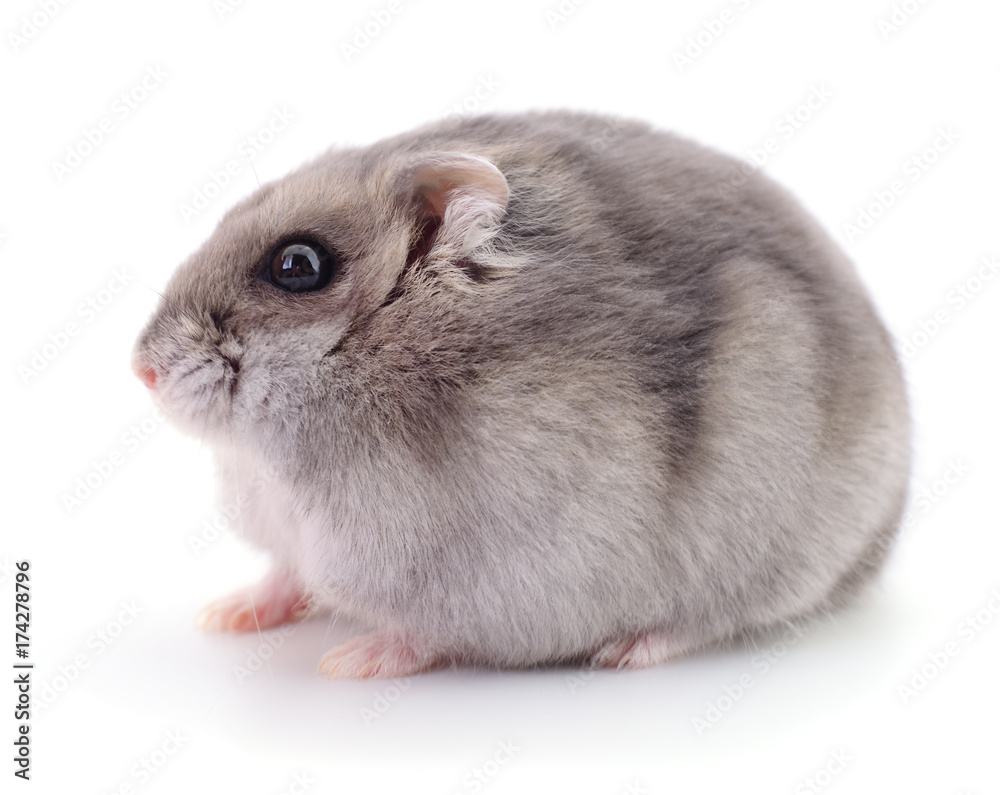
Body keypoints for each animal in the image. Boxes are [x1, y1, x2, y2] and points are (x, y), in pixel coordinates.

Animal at [132, 111, 910, 678]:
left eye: (297, 264)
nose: (142, 371)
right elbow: (283, 574)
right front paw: (225, 614)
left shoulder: (475, 578)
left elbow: (423, 634)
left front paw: (346, 662)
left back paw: (629, 651)